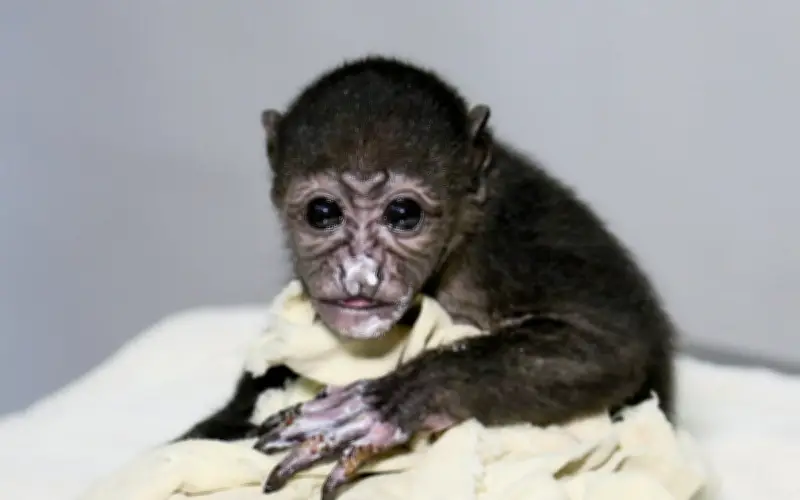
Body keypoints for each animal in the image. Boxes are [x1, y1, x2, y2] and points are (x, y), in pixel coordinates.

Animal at [175, 55, 677, 500]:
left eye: (403, 214)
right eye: (322, 213)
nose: (359, 274)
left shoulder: (515, 237)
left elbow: (611, 340)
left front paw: (393, 400)